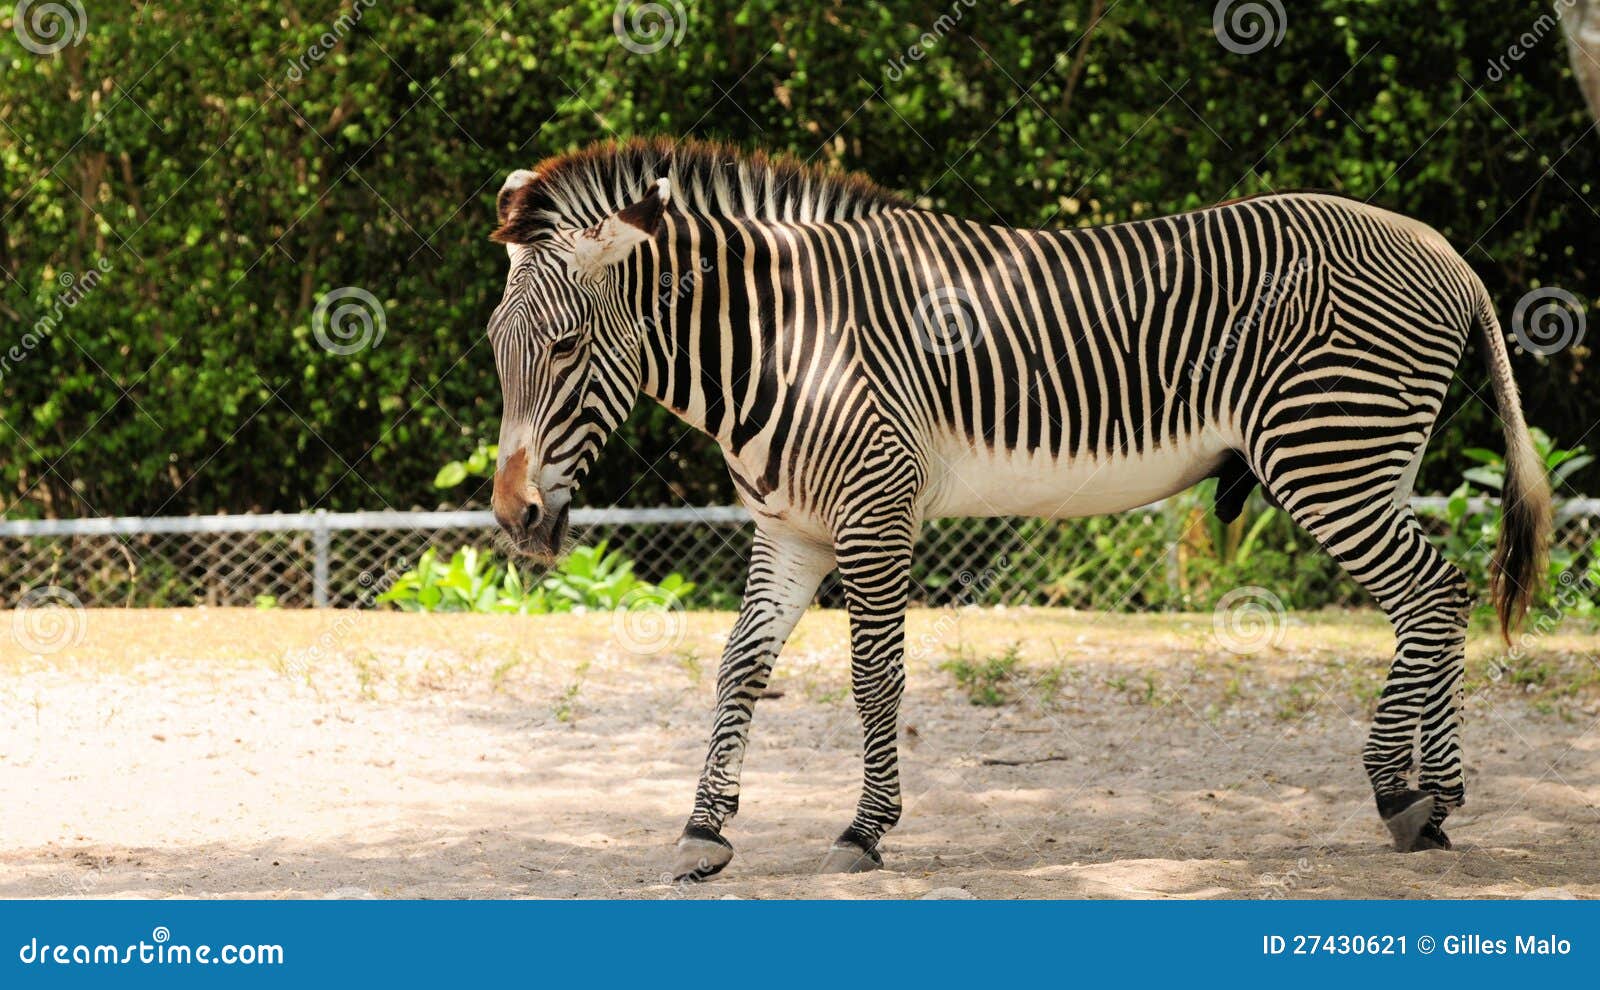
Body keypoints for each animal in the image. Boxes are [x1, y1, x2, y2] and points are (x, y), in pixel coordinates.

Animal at [484, 138, 1551, 881]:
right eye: (498, 344)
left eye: (570, 348)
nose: (513, 519)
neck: (793, 341)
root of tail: (1442, 247)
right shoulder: (790, 527)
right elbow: (739, 667)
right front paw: (704, 832)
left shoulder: (877, 509)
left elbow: (876, 679)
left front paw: (864, 831)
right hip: (1371, 457)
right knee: (1439, 597)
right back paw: (1435, 799)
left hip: (1330, 453)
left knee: (1432, 593)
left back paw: (1404, 796)